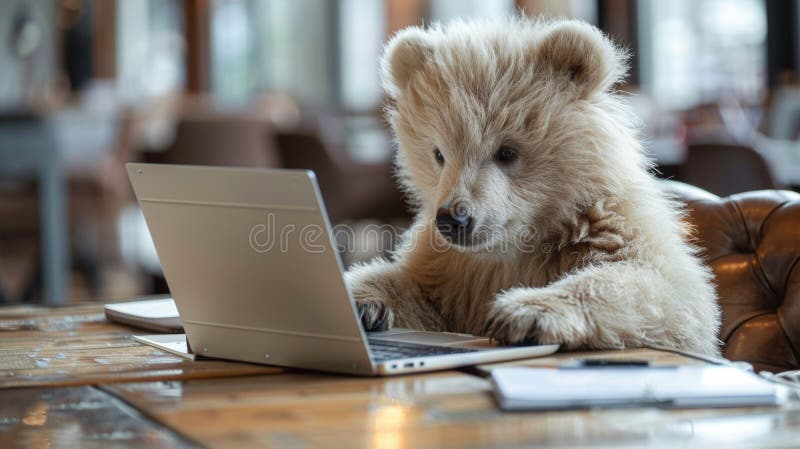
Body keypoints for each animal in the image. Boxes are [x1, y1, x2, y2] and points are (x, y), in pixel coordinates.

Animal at [345, 17, 721, 356]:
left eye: (506, 151)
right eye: (439, 153)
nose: (454, 219)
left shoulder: (613, 228)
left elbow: (663, 288)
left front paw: (524, 313)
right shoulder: (454, 271)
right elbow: (416, 289)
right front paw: (361, 301)